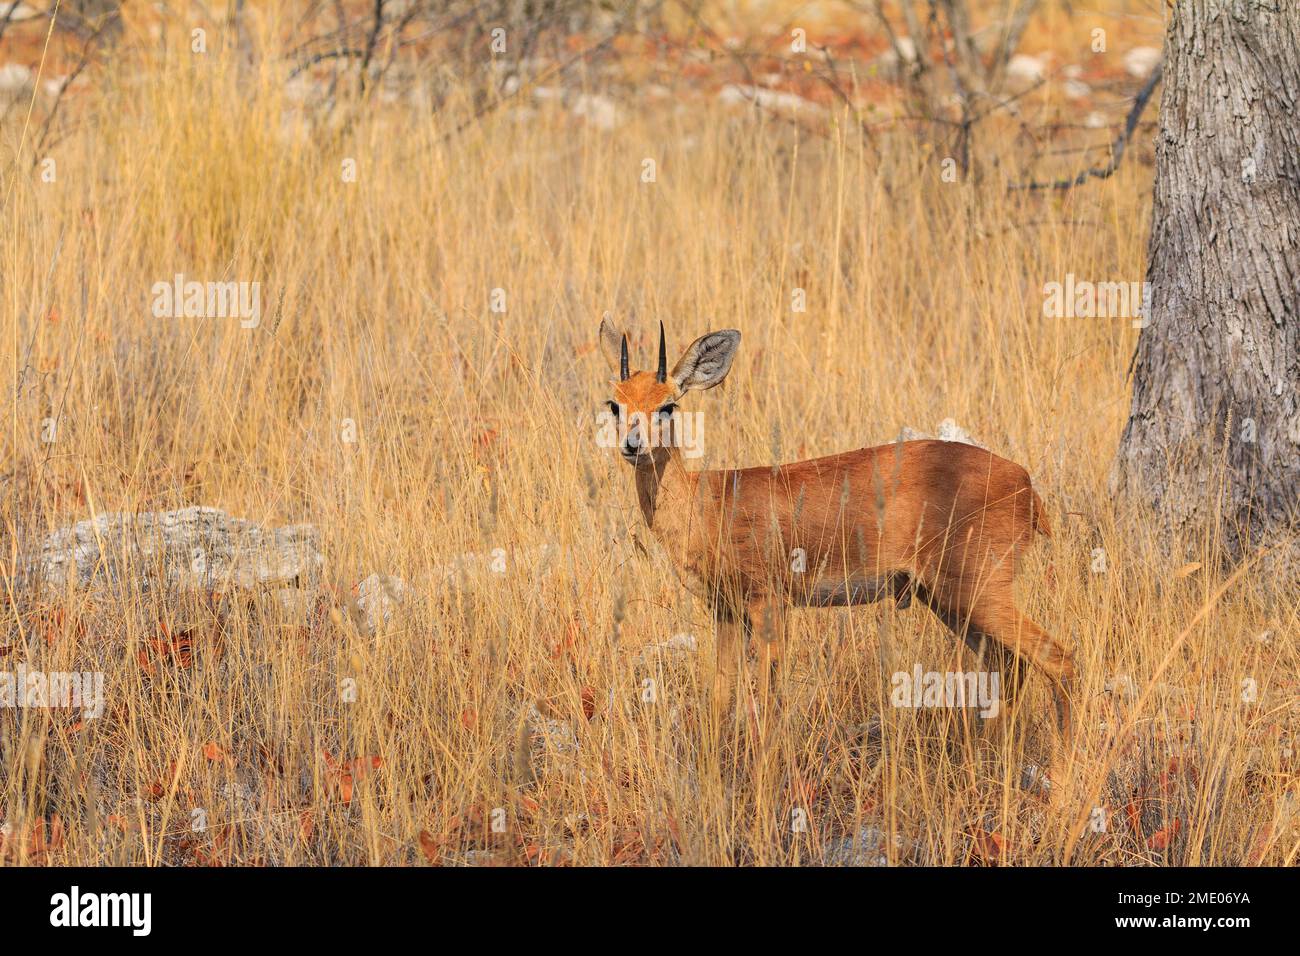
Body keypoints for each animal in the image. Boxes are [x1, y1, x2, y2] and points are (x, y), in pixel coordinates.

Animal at [599, 317, 1077, 784]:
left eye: (668, 404)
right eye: (615, 403)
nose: (632, 446)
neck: (709, 503)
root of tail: (1026, 486)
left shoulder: (769, 604)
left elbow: (769, 701)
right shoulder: (726, 611)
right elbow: (720, 697)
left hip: (977, 591)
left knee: (1058, 658)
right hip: (950, 602)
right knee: (1010, 666)